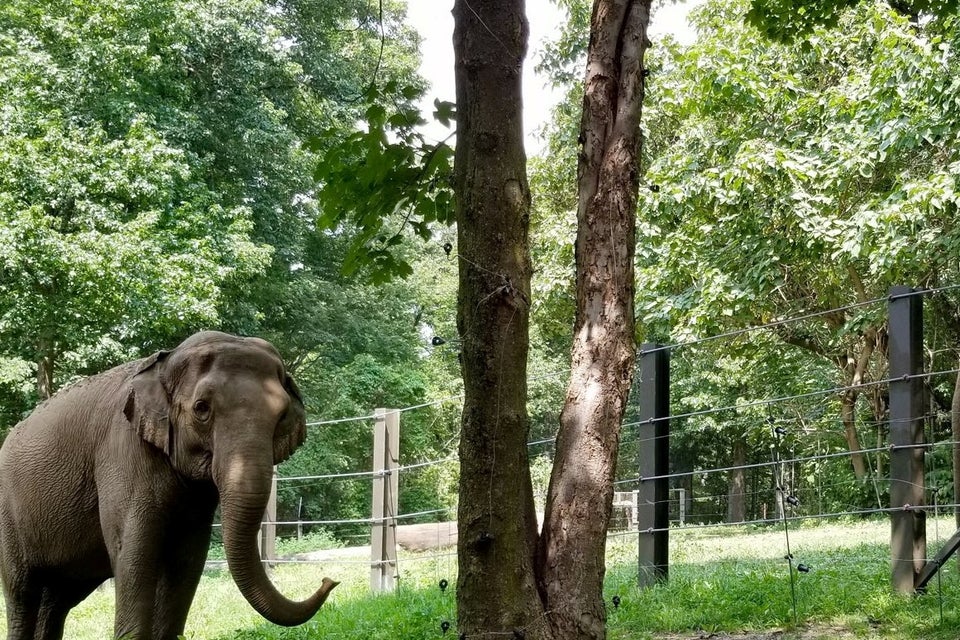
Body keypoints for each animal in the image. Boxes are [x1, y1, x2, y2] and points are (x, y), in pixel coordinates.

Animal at [0, 331, 337, 640]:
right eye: (201, 408)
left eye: (282, 414)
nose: (329, 581)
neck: (165, 361)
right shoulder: (121, 452)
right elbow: (135, 550)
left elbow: (188, 558)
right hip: (8, 519)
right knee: (22, 592)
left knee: (57, 599)